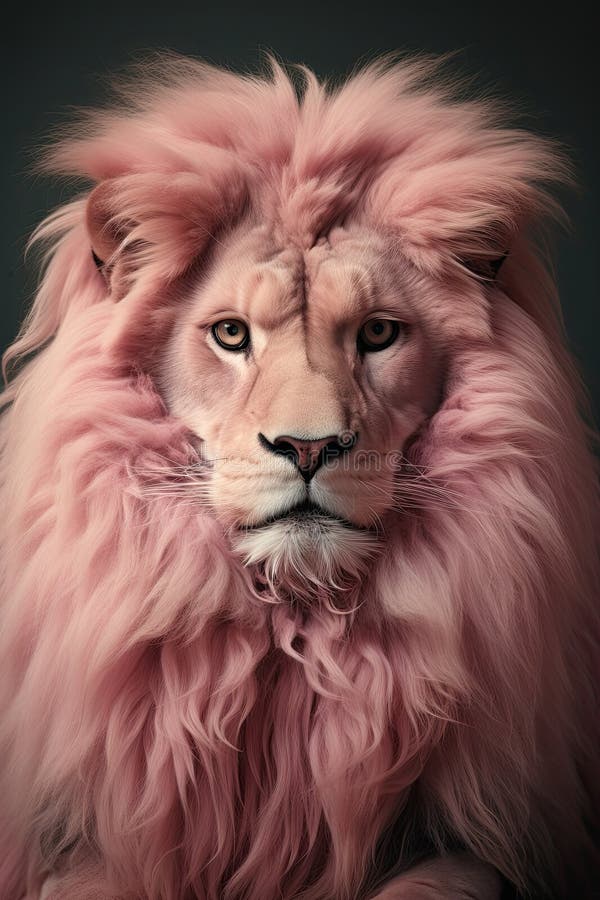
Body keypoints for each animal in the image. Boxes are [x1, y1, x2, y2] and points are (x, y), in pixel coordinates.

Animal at [0, 53, 598, 900]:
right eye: (230, 334)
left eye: (378, 333)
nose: (308, 448)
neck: (296, 634)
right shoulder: (72, 844)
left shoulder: (480, 843)